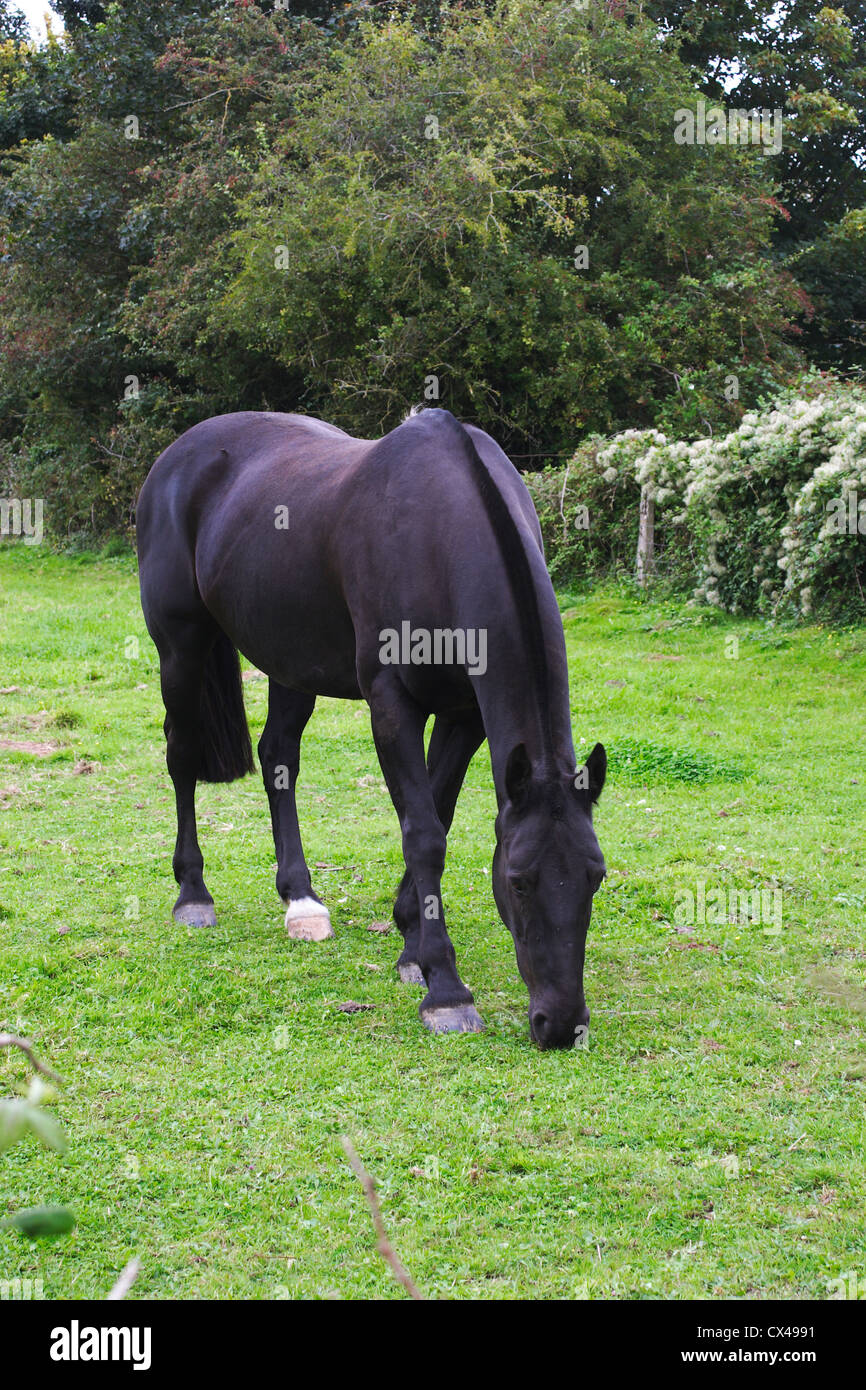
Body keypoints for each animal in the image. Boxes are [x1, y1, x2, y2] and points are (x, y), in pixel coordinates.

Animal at [136, 407, 607, 1049]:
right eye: (518, 881)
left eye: (595, 877)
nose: (559, 1024)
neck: (437, 534)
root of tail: (176, 455)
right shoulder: (391, 702)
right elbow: (424, 833)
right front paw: (446, 990)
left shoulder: (463, 714)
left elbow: (439, 812)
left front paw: (411, 946)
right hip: (180, 648)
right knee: (181, 756)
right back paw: (192, 894)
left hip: (291, 661)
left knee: (278, 756)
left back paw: (301, 901)